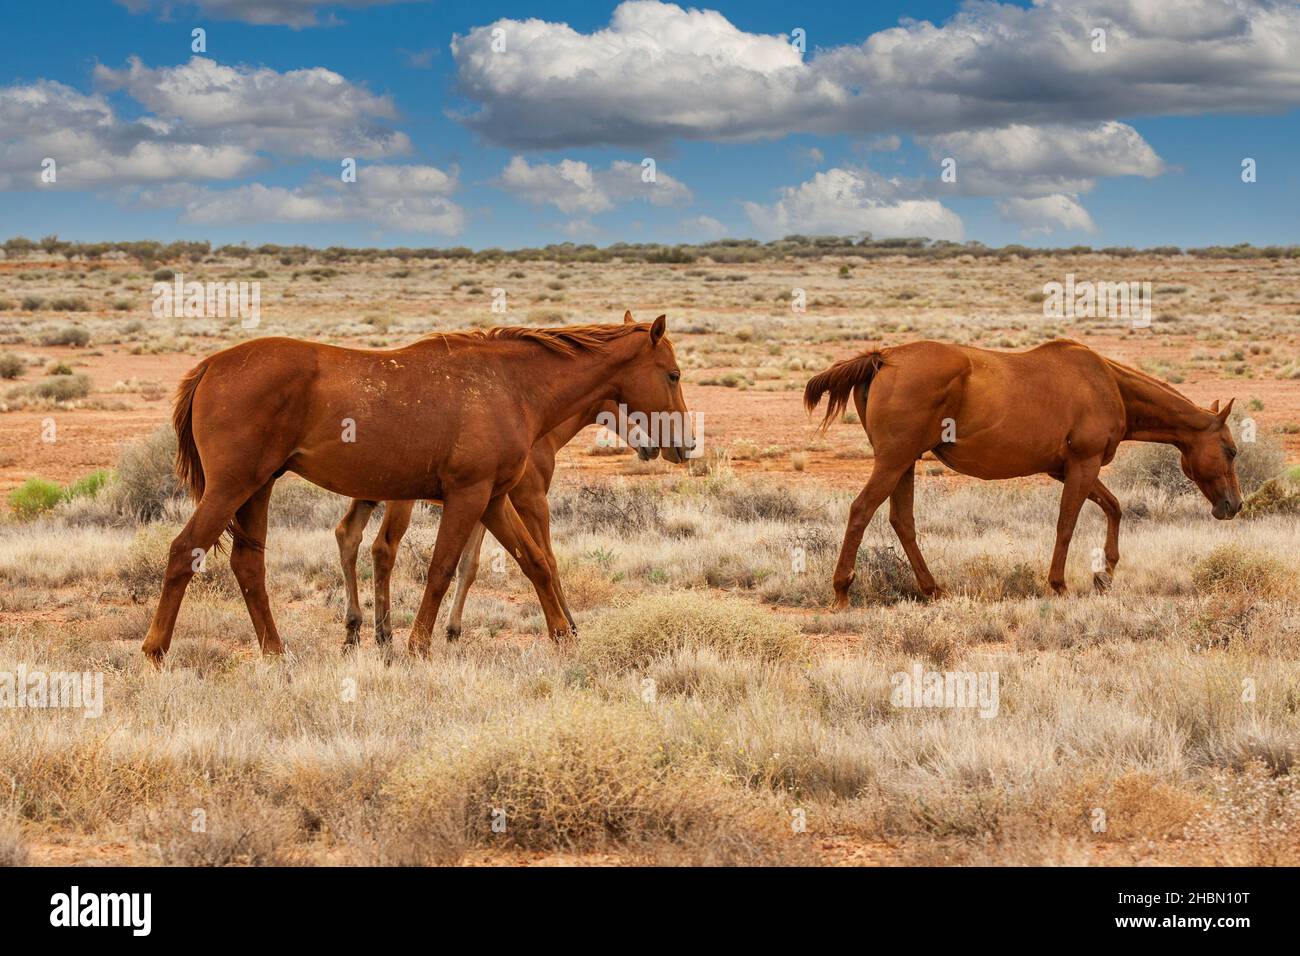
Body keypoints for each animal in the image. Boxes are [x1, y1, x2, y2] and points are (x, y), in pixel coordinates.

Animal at [142, 315, 694, 664]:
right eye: (672, 373)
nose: (685, 444)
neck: (510, 385)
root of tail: (211, 365)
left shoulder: (494, 499)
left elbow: (534, 562)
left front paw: (564, 638)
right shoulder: (473, 497)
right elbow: (443, 569)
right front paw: (418, 647)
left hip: (257, 491)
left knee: (249, 565)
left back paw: (277, 654)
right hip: (232, 489)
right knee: (184, 552)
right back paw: (154, 652)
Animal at [804, 339, 1242, 607]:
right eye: (1231, 451)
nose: (1234, 505)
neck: (1108, 383)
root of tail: (885, 357)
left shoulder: (1066, 470)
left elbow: (1114, 508)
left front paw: (1105, 573)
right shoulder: (1083, 466)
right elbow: (1067, 524)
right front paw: (1060, 584)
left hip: (905, 464)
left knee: (902, 521)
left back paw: (932, 589)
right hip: (893, 462)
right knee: (861, 511)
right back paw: (842, 591)